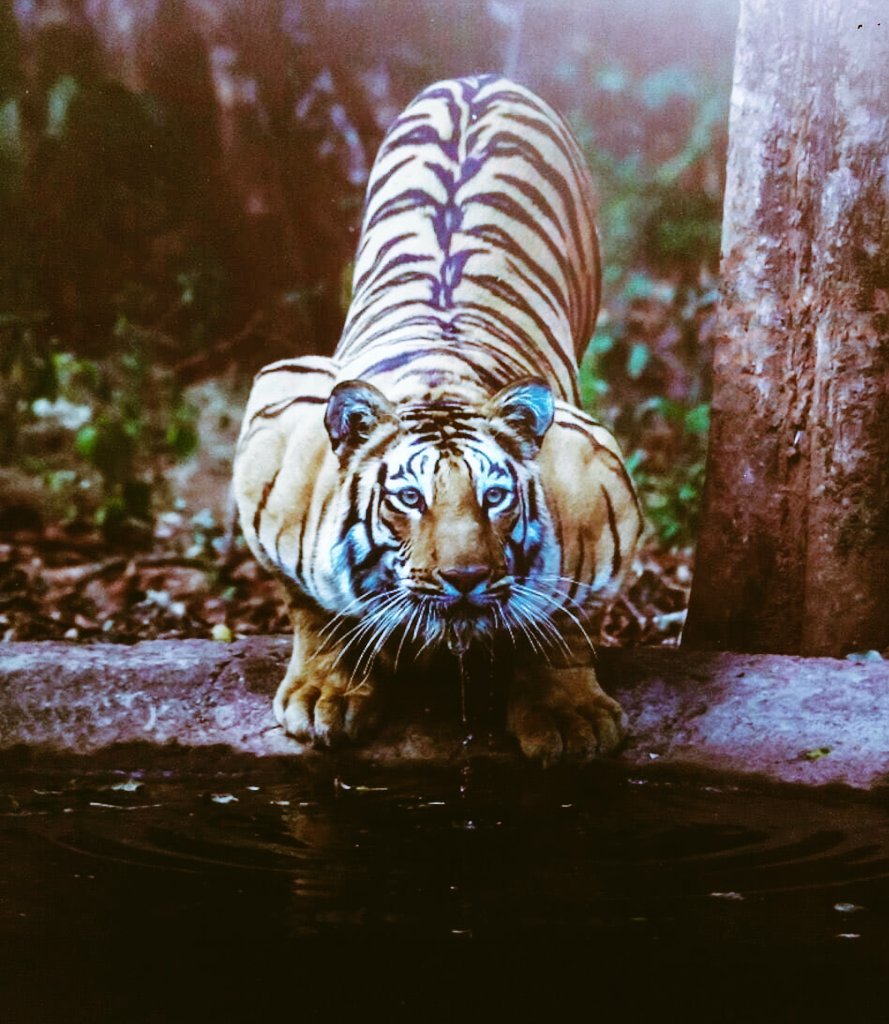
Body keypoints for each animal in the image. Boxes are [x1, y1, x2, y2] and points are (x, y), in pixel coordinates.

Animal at [233, 74, 642, 765]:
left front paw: (570, 717)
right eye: (408, 498)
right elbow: (314, 607)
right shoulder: (273, 429)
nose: (466, 578)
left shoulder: (600, 479)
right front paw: (325, 694)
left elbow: (565, 621)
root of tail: (478, 78)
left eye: (495, 496)